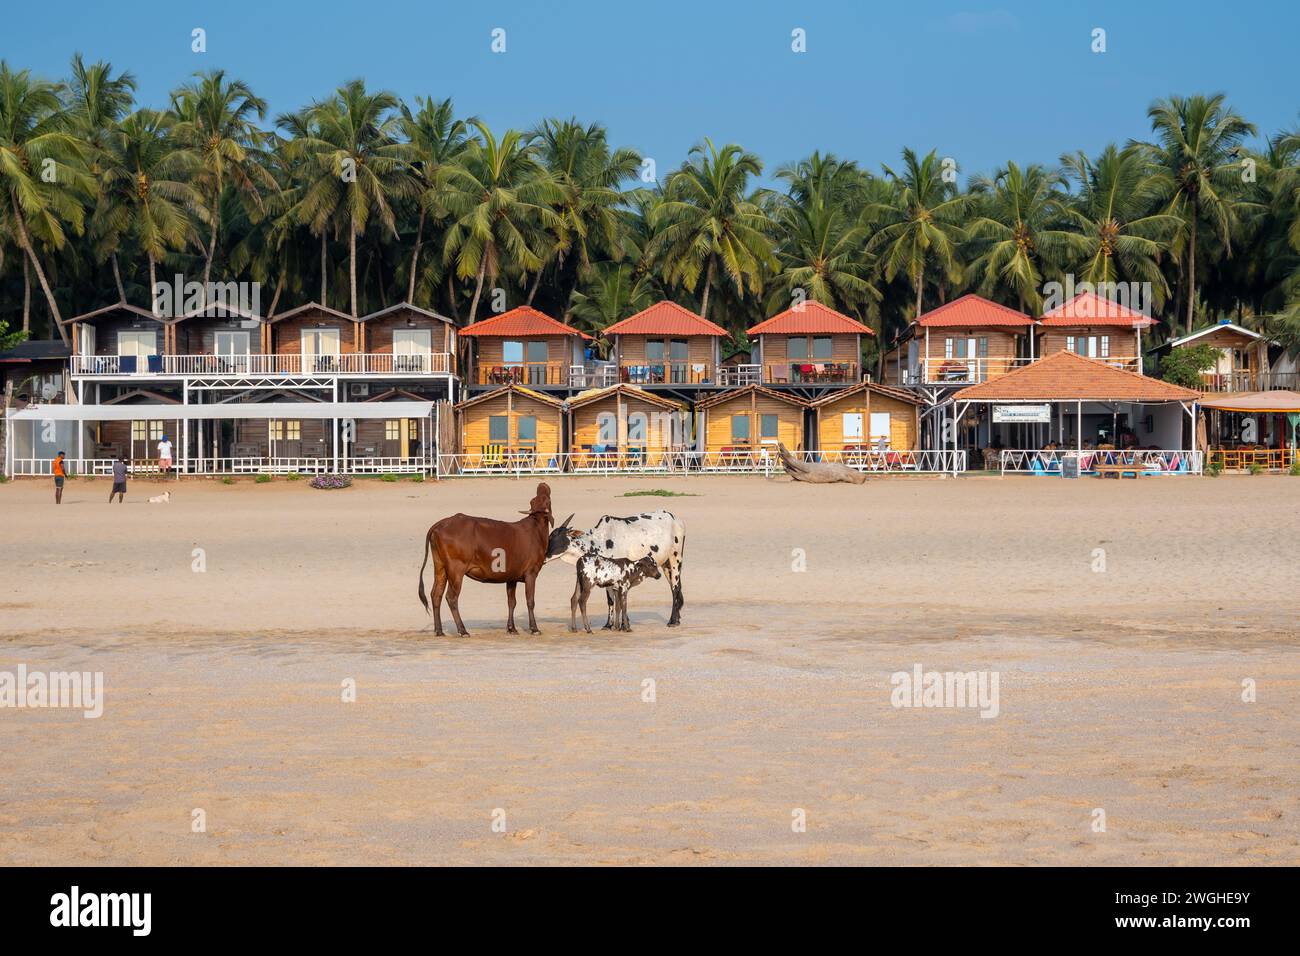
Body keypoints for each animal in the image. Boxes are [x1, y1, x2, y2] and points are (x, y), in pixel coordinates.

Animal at [417, 481, 573, 637]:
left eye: (537, 499)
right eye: (548, 500)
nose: (542, 484)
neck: (536, 529)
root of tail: (441, 523)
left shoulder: (512, 576)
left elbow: (511, 602)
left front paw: (511, 628)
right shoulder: (531, 573)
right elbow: (530, 601)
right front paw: (534, 628)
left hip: (440, 566)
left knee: (436, 595)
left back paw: (439, 631)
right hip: (456, 570)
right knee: (451, 597)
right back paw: (462, 630)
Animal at [547, 509, 685, 628]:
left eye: (554, 536)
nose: (544, 556)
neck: (599, 541)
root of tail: (676, 519)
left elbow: (618, 599)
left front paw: (623, 623)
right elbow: (610, 600)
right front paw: (609, 624)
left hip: (675, 559)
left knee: (675, 588)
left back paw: (672, 621)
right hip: (666, 565)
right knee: (675, 588)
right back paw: (677, 619)